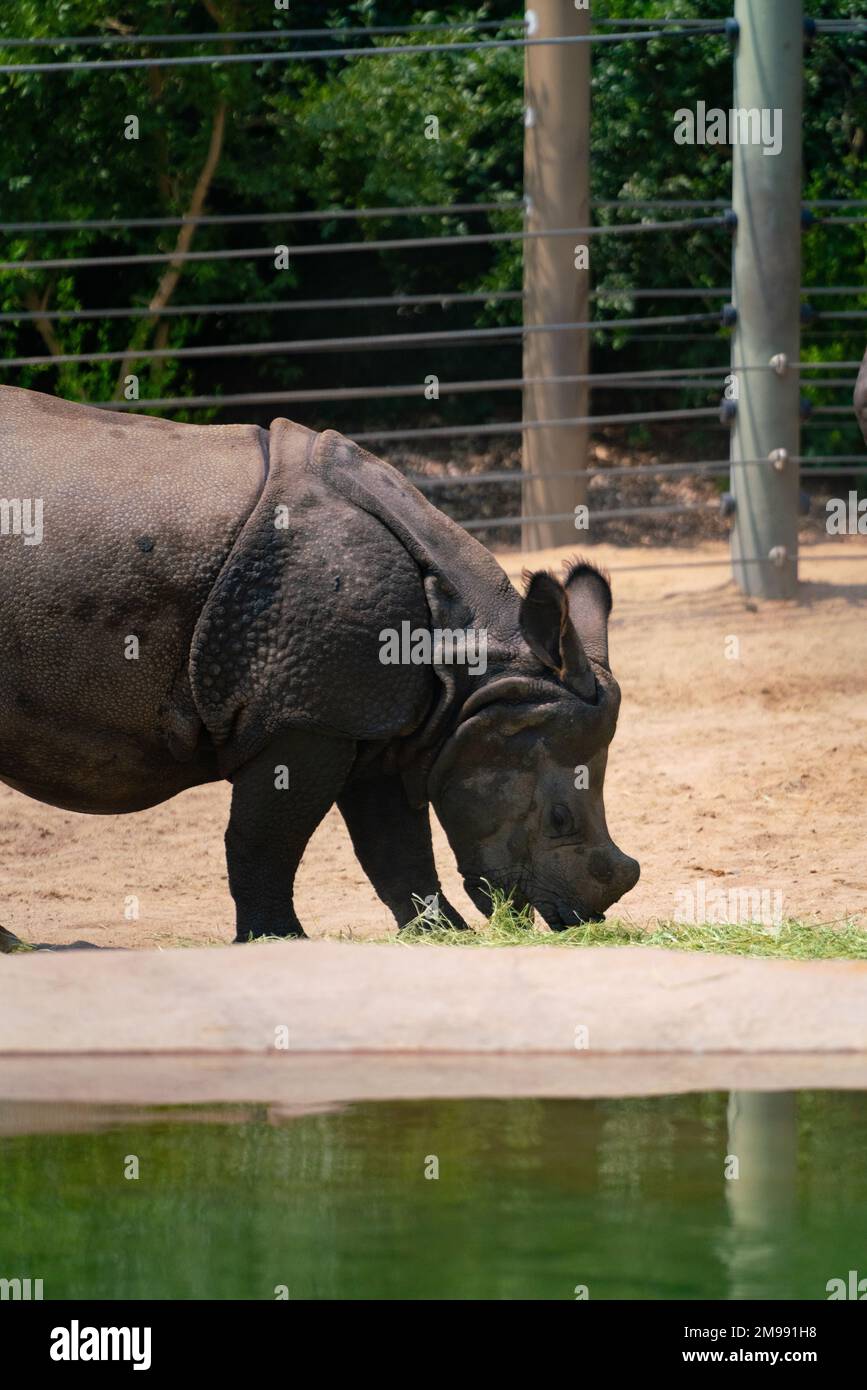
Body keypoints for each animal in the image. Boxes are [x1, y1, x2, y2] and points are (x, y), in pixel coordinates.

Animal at [0, 384, 639, 940]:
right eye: (559, 819)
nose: (584, 917)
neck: (473, 664)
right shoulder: (306, 716)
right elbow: (267, 838)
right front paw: (278, 940)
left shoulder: (383, 717)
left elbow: (394, 845)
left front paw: (441, 937)